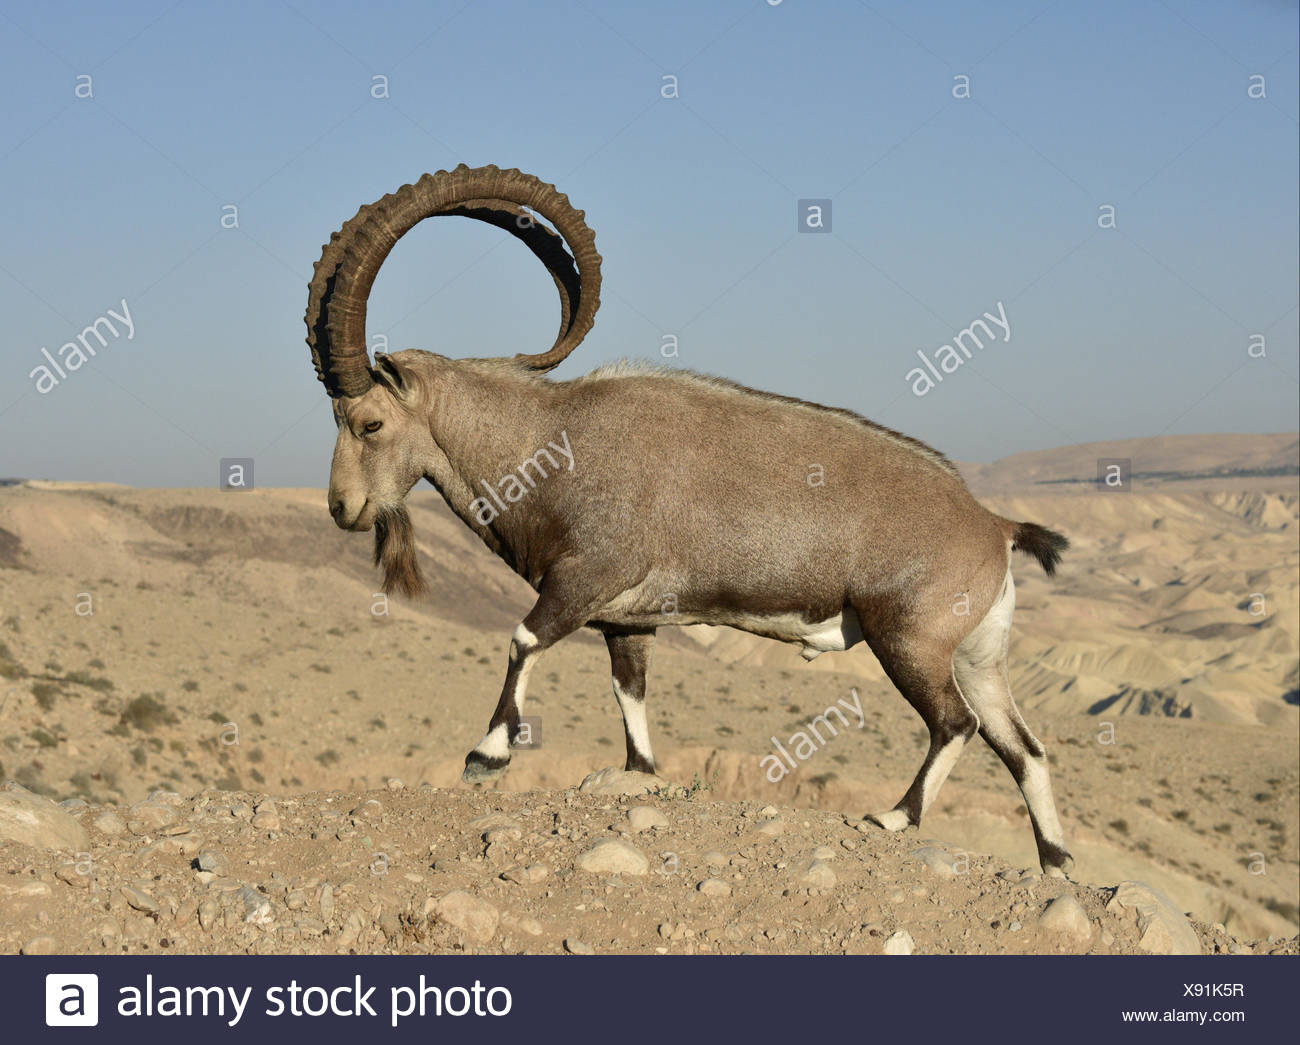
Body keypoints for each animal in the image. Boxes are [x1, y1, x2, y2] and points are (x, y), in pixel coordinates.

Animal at [306, 165, 1074, 875]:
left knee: (956, 723)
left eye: (370, 422)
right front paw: (638, 772)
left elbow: (523, 639)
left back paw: (894, 816)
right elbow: (630, 690)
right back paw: (1056, 859)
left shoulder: (585, 578)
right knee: (1023, 746)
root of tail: (995, 526)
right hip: (976, 654)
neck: (548, 441)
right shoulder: (625, 618)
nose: (342, 507)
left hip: (909, 639)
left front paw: (486, 753)